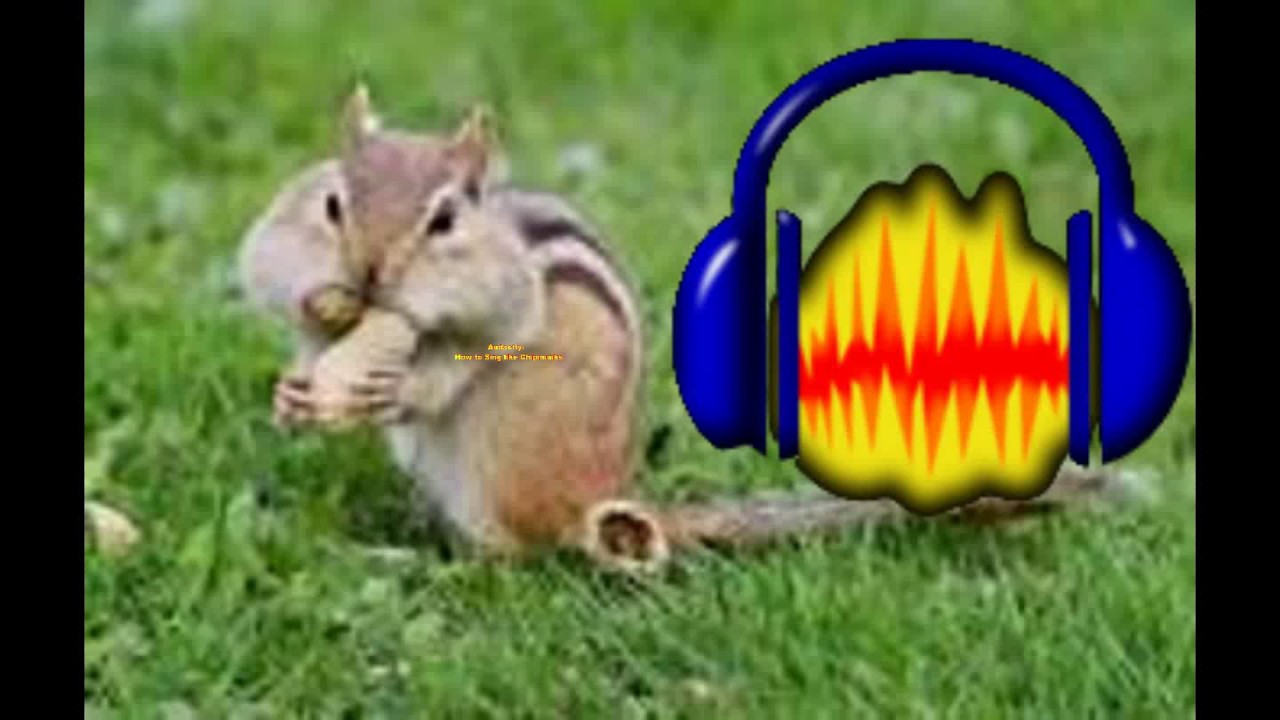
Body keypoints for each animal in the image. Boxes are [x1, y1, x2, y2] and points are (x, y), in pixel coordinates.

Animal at [238, 86, 1152, 573]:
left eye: (443, 221)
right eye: (333, 202)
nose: (366, 276)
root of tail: (605, 495)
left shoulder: (503, 317)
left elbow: (448, 370)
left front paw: (391, 383)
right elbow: (312, 345)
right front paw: (293, 394)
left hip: (499, 465)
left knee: (511, 556)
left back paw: (409, 563)